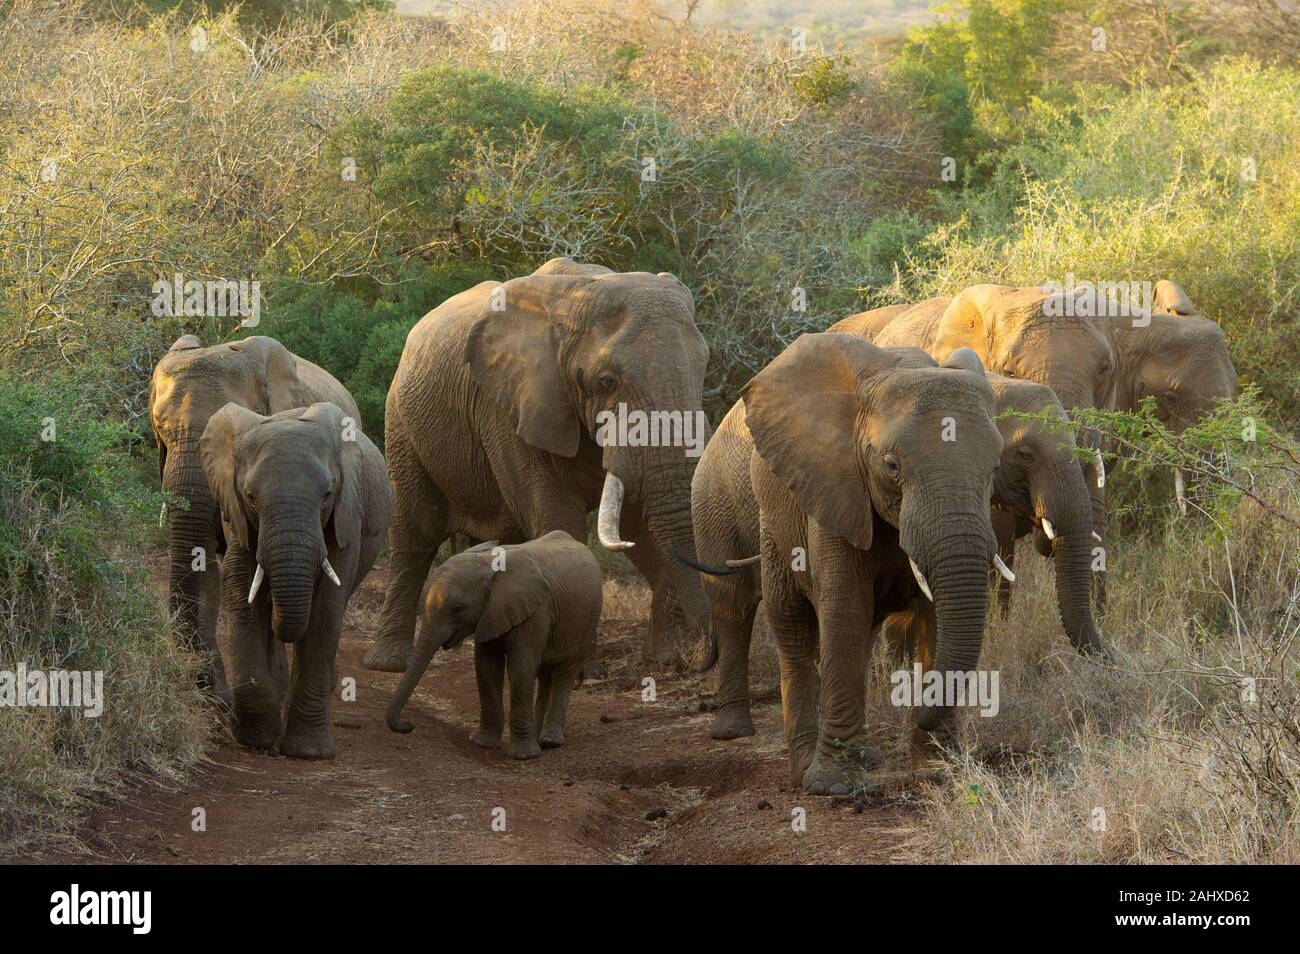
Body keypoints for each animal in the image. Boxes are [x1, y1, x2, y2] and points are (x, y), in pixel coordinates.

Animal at [199, 401, 391, 759]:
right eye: (251, 498)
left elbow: (326, 609)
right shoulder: (237, 518)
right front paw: (257, 738)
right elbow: (241, 594)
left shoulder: (346, 517)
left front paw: (308, 753)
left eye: (326, 495)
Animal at [364, 257, 711, 676]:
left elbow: (635, 524)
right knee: (416, 533)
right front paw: (582, 672)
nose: (702, 660)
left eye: (704, 368)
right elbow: (560, 520)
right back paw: (389, 662)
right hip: (402, 424)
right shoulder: (510, 407)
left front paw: (666, 657)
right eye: (607, 381)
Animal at [387, 531, 602, 761]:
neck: (487, 565)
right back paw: (537, 735)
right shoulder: (490, 614)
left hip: (589, 619)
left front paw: (524, 756)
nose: (408, 725)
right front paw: (482, 744)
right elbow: (487, 667)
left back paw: (550, 742)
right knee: (545, 674)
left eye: (458, 608)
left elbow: (521, 667)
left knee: (564, 672)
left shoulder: (535, 611)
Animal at [696, 332, 1006, 794]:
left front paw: (937, 772)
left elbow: (934, 616)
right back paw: (799, 769)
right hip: (764, 525)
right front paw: (833, 784)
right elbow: (844, 609)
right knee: (778, 621)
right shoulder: (835, 490)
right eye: (892, 466)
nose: (915, 708)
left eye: (996, 465)